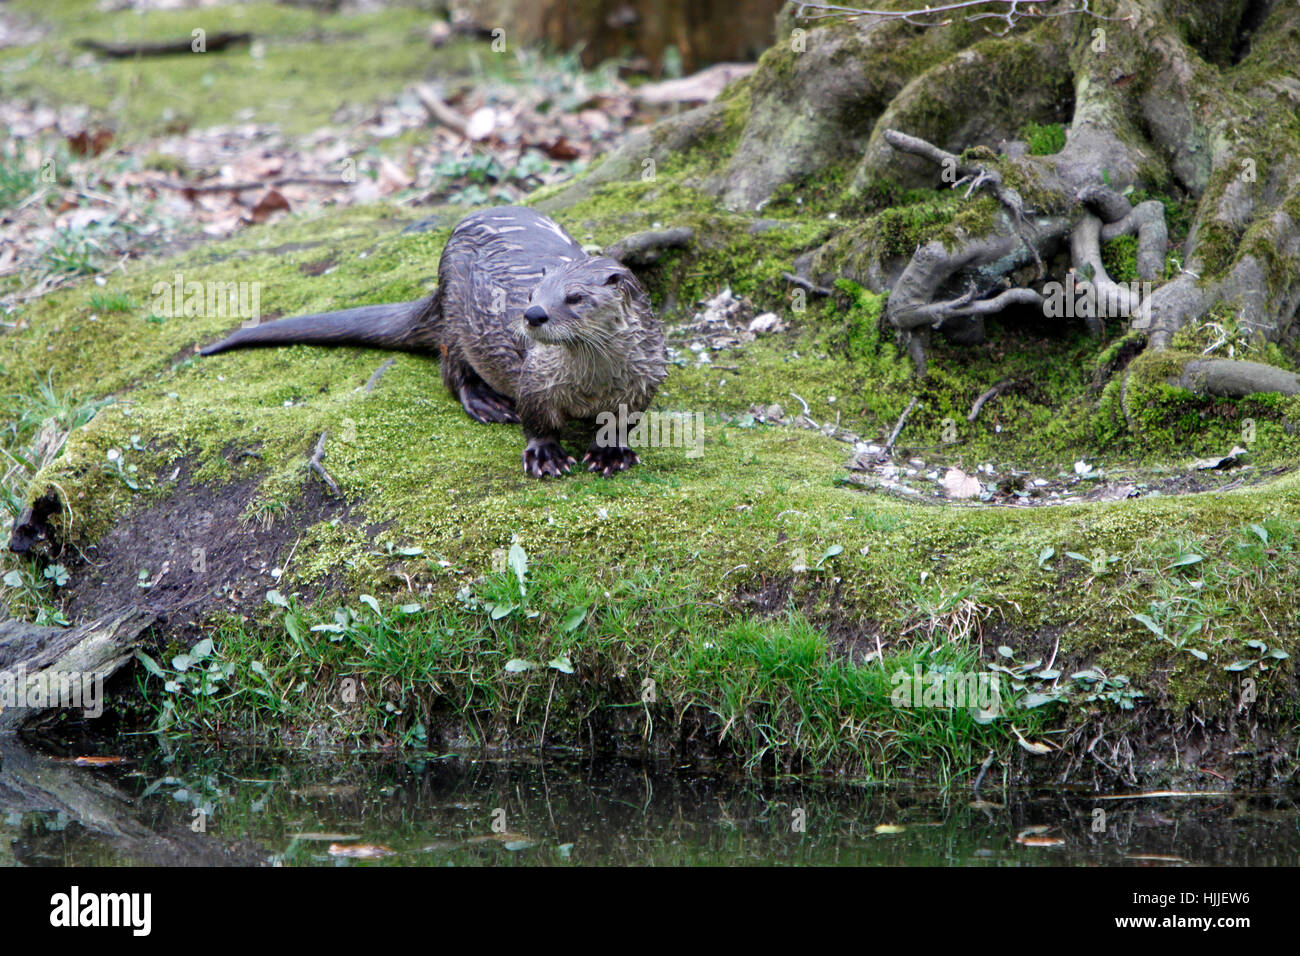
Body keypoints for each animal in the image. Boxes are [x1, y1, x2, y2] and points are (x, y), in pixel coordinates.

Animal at [201, 206, 667, 478]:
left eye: (574, 297)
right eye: (534, 294)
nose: (533, 314)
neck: (593, 385)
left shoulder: (644, 381)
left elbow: (622, 422)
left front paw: (610, 453)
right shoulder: (535, 380)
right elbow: (536, 419)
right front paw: (546, 455)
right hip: (456, 324)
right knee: (451, 368)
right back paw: (485, 402)